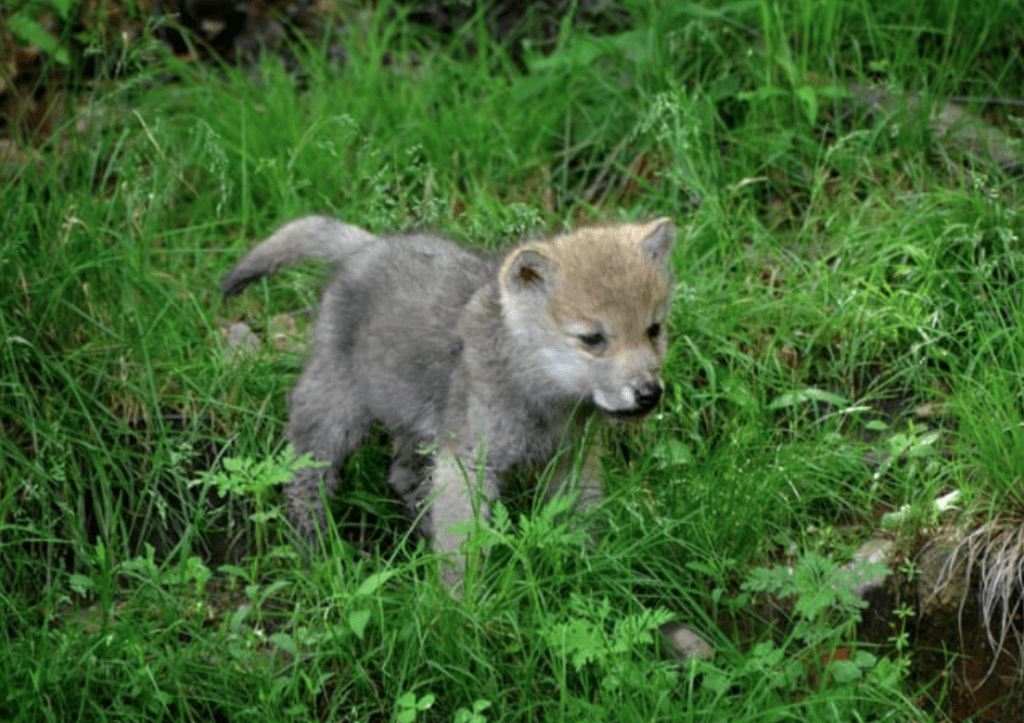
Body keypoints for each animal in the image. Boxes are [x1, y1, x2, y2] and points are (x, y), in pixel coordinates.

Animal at [223, 214, 675, 586]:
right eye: (592, 339)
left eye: (653, 330)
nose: (649, 394)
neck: (536, 392)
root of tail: (365, 247)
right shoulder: (468, 463)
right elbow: (464, 547)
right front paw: (460, 607)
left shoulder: (572, 458)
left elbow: (579, 518)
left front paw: (585, 569)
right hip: (335, 411)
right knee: (304, 478)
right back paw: (316, 550)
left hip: (414, 419)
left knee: (401, 476)